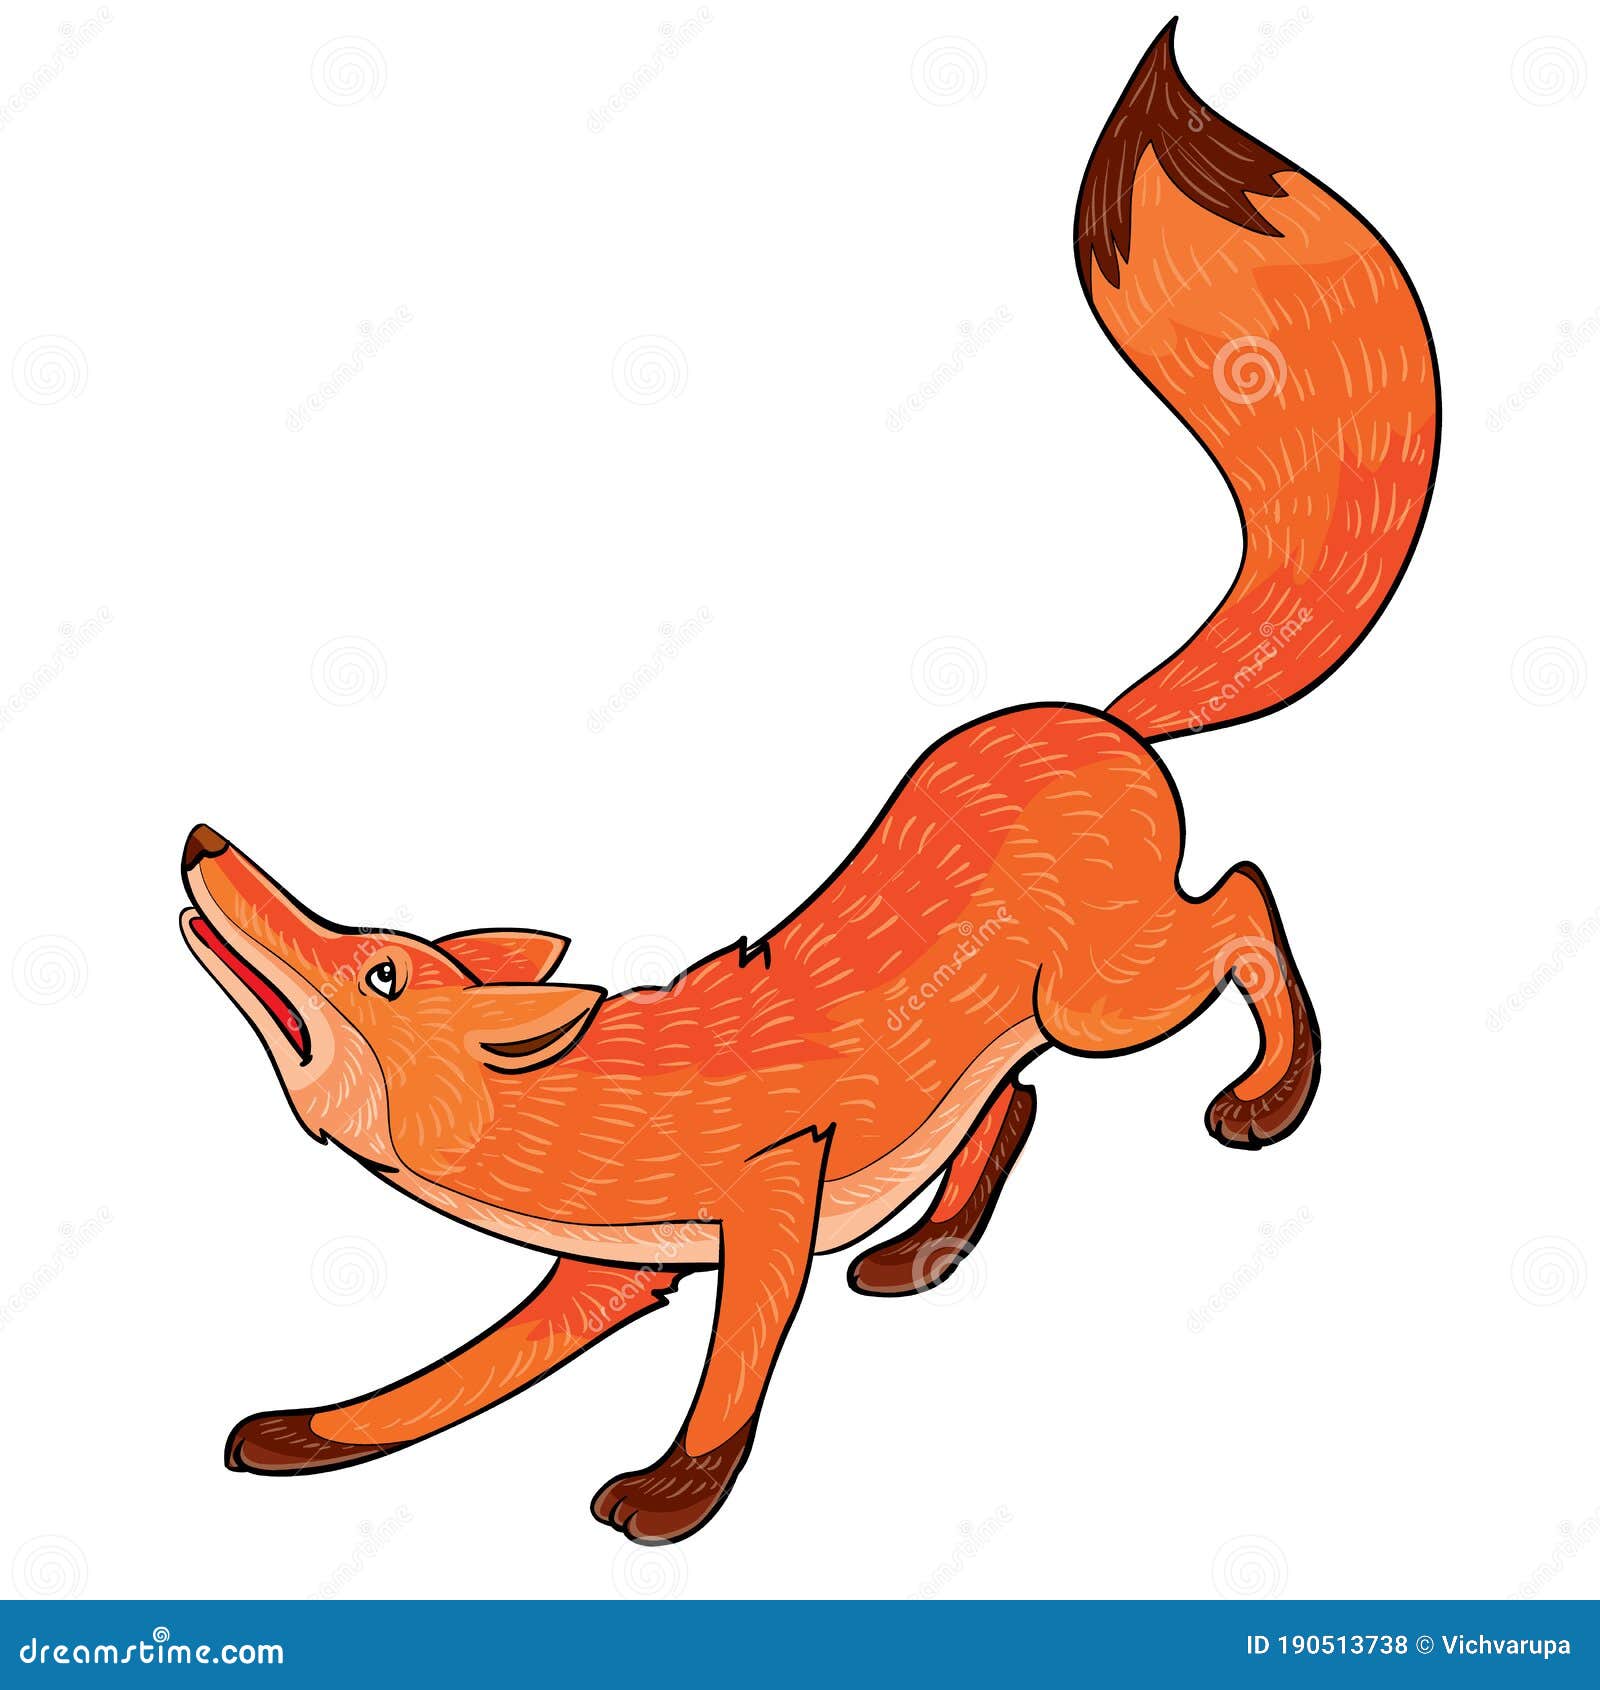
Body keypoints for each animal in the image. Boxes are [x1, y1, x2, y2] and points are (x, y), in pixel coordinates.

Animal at [181, 22, 1437, 1544]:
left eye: (377, 967)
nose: (201, 843)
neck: (585, 1113)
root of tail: (1095, 717)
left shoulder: (772, 1193)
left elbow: (734, 1365)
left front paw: (676, 1494)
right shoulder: (616, 1269)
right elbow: (433, 1389)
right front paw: (304, 1434)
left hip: (1107, 1001)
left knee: (1244, 901)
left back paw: (1274, 1091)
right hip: (1029, 1027)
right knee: (1017, 1101)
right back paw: (934, 1246)